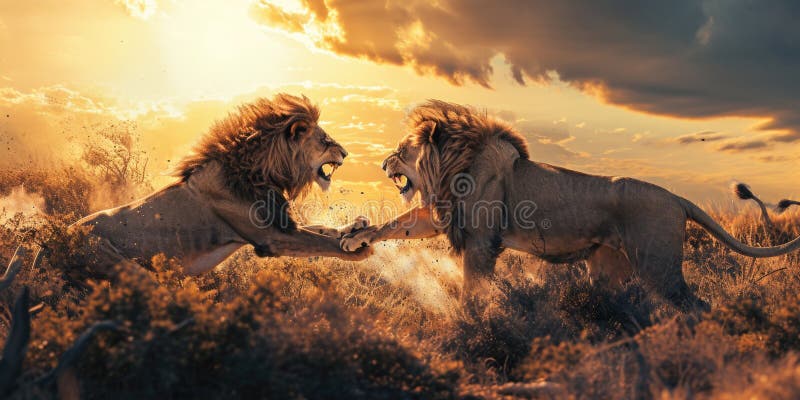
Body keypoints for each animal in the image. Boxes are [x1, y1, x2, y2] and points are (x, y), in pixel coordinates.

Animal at [1, 94, 370, 287]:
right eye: (325, 140)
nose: (346, 153)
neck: (260, 171)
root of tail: (46, 245)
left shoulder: (278, 222)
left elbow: (322, 230)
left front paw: (355, 228)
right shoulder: (272, 237)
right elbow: (319, 242)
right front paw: (358, 251)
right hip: (123, 266)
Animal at [342, 100, 800, 310]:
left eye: (400, 151)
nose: (381, 162)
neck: (455, 165)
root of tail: (677, 197)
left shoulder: (480, 241)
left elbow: (474, 288)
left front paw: (471, 317)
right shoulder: (443, 217)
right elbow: (397, 224)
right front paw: (354, 236)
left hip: (659, 265)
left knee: (696, 306)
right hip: (608, 268)